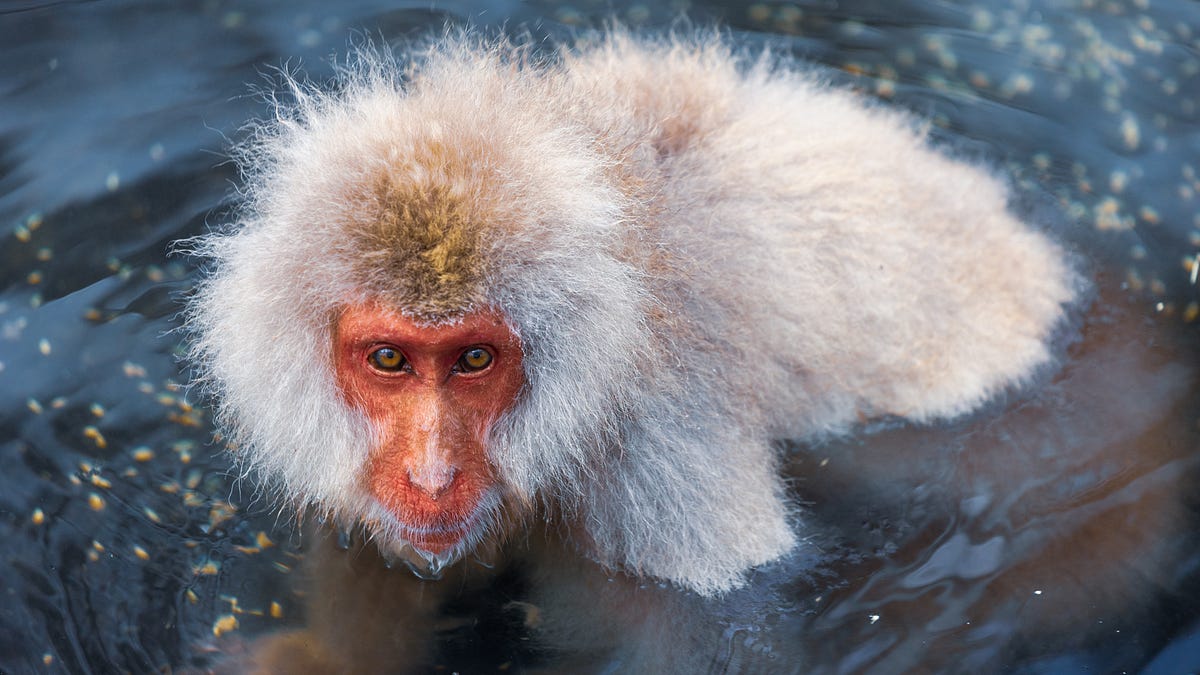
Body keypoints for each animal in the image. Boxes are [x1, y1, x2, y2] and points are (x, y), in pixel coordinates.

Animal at [184, 29, 1196, 672]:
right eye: (391, 360)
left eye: (473, 360)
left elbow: (705, 632)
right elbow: (373, 550)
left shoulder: (653, 461)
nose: (431, 473)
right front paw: (322, 658)